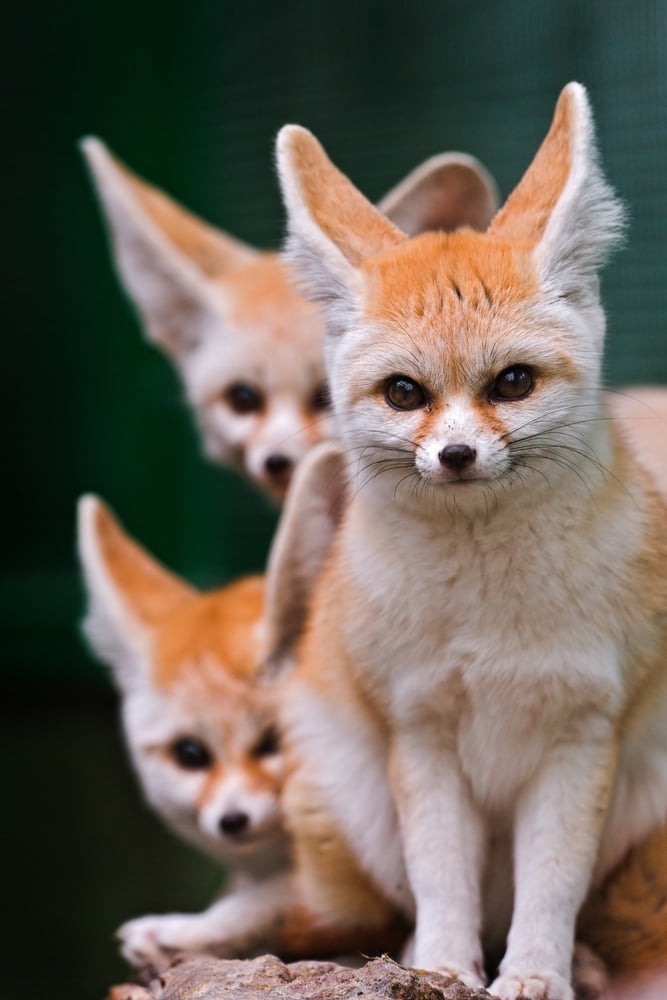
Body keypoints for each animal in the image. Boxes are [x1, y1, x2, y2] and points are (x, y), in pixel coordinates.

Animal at [262, 82, 667, 1000]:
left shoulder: (579, 734)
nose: (454, 455)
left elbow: (551, 884)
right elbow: (441, 877)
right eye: (404, 393)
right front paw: (443, 967)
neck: (489, 608)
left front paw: (535, 975)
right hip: (351, 790)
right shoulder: (421, 733)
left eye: (511, 382)